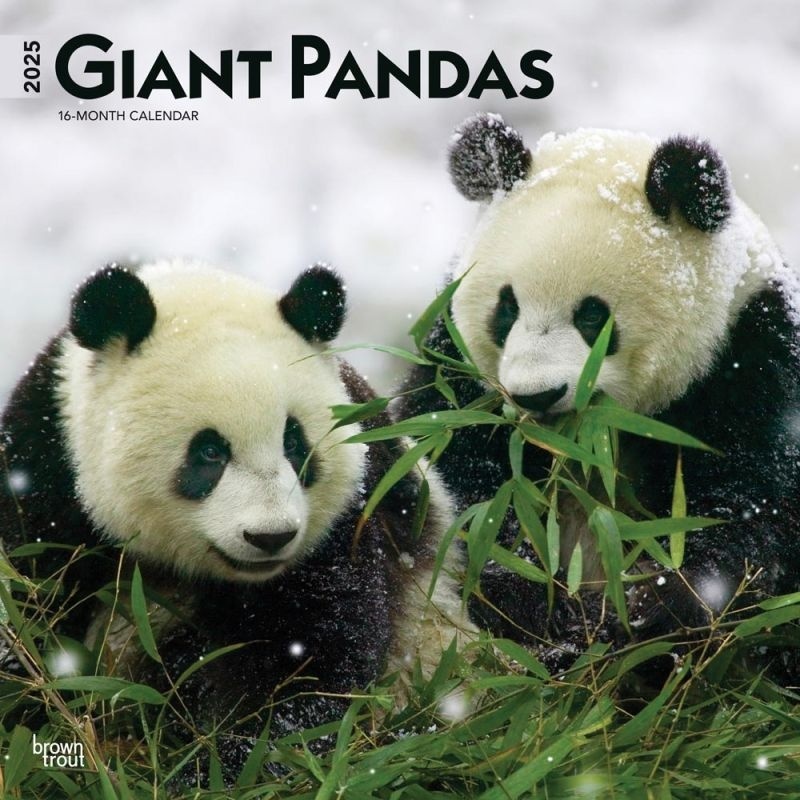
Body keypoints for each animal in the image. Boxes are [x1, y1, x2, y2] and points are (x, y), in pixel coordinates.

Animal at [0, 259, 473, 779]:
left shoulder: (350, 515)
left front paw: (224, 763)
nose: (271, 537)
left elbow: (307, 657)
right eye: (209, 451)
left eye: (294, 443)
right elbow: (29, 601)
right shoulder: (45, 466)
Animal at [400, 112, 800, 665]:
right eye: (507, 307)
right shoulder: (459, 378)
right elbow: (461, 493)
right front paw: (546, 612)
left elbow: (742, 512)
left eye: (592, 316)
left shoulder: (751, 358)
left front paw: (642, 612)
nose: (535, 396)